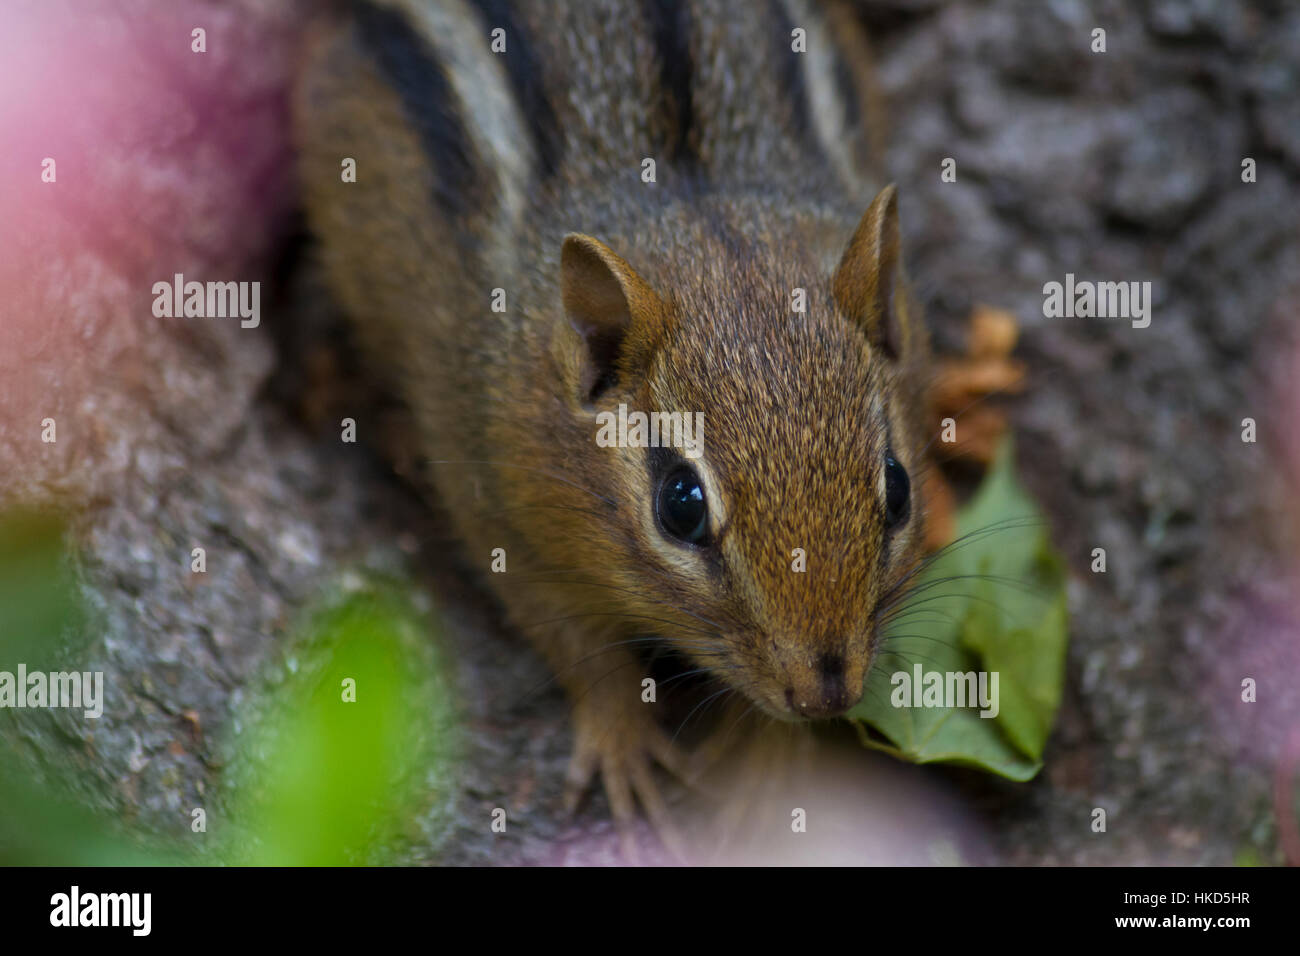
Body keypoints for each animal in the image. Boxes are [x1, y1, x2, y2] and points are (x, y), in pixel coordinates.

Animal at [292, 0, 1022, 855]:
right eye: (681, 505)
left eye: (900, 489)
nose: (824, 693)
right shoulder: (490, 493)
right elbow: (568, 635)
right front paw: (623, 743)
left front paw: (769, 760)